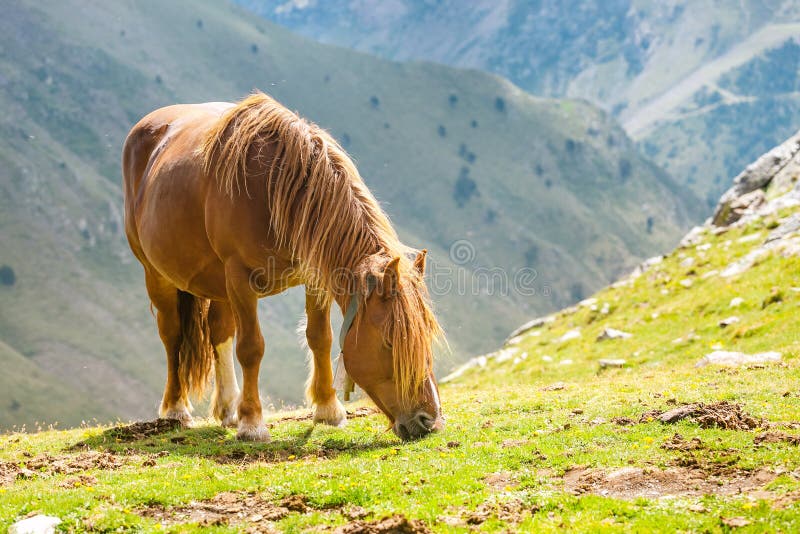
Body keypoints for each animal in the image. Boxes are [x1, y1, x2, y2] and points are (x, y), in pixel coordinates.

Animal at [122, 92, 445, 441]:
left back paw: (228, 408)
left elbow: (320, 337)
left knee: (219, 333)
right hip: (158, 276)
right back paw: (176, 409)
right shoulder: (240, 279)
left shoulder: (314, 276)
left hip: (217, 285)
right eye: (389, 341)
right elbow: (251, 347)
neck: (276, 190)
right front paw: (252, 423)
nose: (429, 420)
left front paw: (328, 409)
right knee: (173, 336)